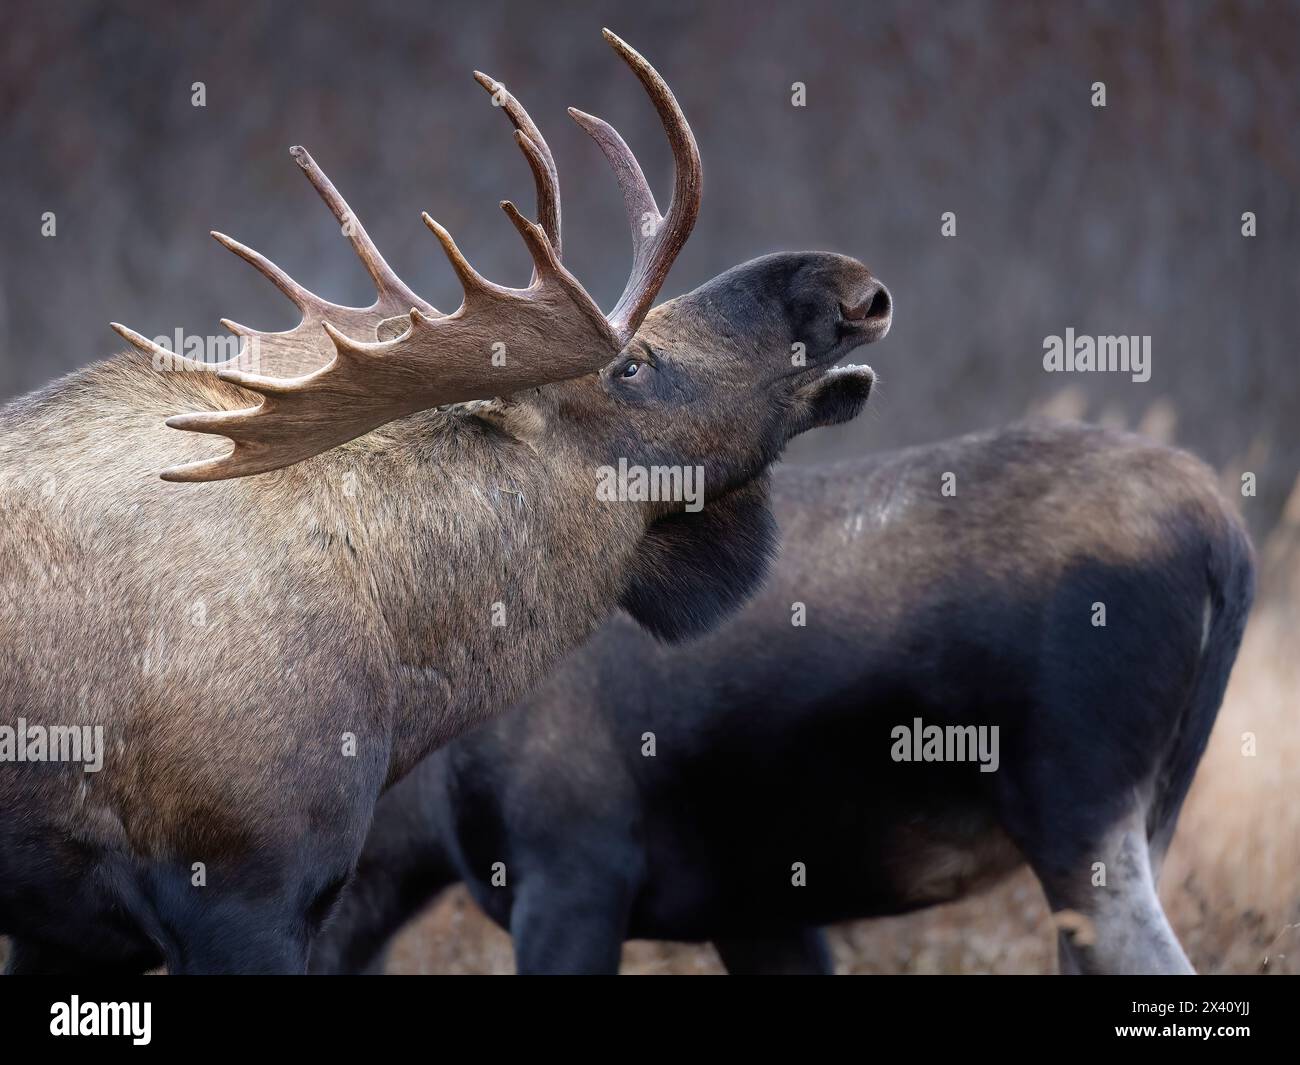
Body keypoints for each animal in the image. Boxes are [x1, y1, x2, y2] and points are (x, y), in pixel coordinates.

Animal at [309, 421, 1254, 975]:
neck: (420, 825)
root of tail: (1227, 543)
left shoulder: (570, 870)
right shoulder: (756, 911)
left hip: (1078, 809)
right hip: (1151, 814)